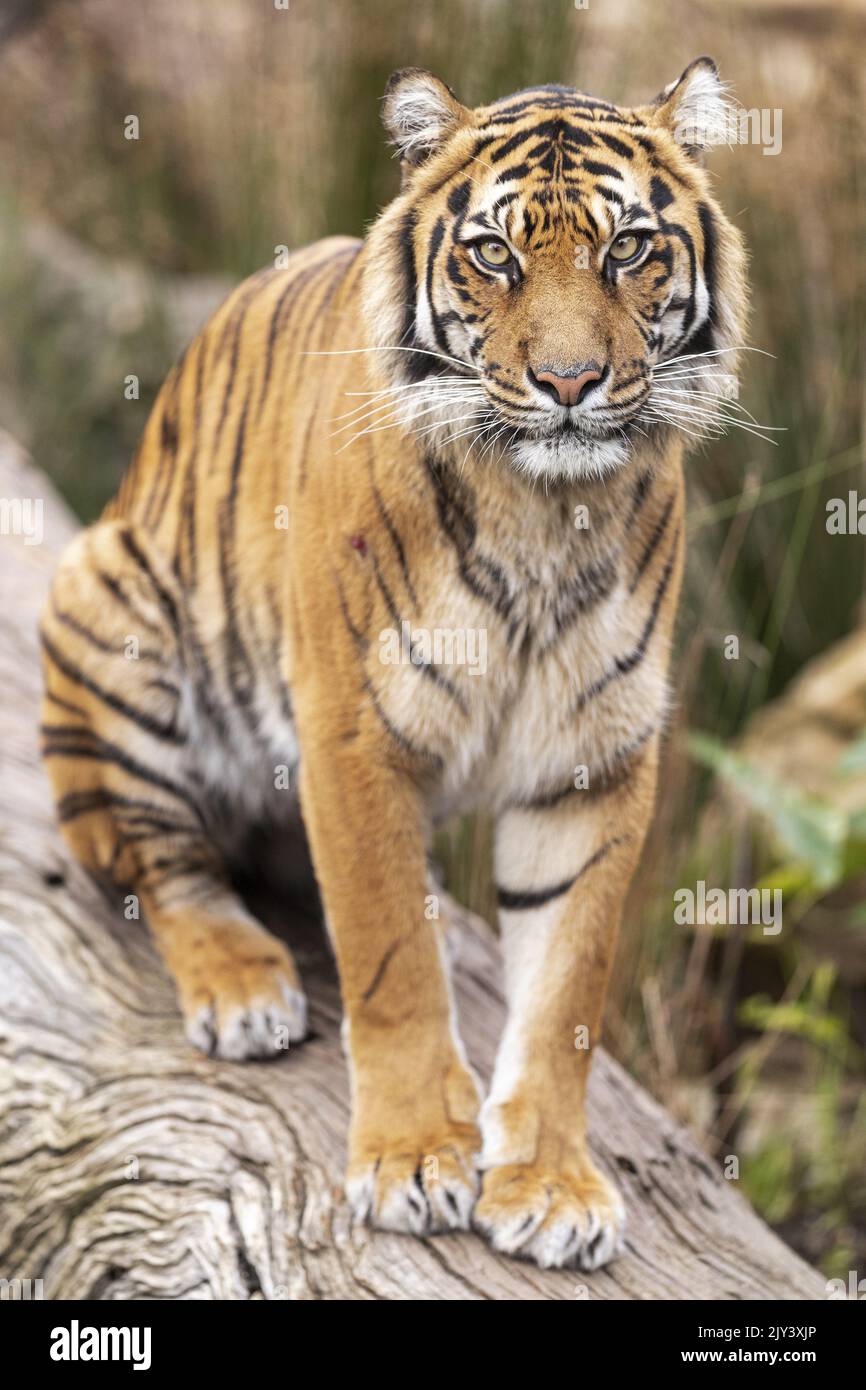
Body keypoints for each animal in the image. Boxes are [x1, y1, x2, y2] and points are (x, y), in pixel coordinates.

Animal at [39, 59, 748, 1271]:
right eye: (495, 254)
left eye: (627, 249)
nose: (569, 383)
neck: (547, 512)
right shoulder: (354, 731)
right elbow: (389, 958)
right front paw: (415, 1158)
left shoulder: (594, 761)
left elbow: (566, 987)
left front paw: (549, 1185)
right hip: (112, 605)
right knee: (152, 861)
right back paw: (246, 988)